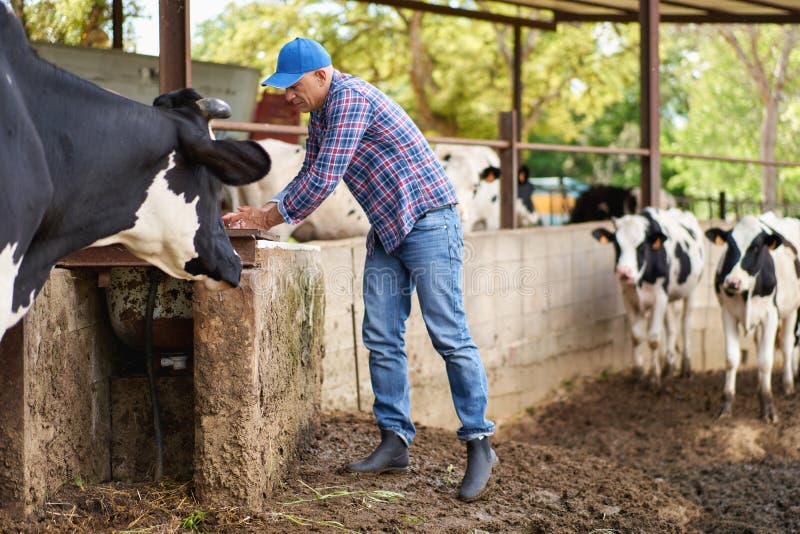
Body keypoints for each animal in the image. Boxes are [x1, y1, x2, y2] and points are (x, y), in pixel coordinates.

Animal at [592, 208, 705, 388]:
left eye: (641, 246)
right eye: (616, 244)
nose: (623, 271)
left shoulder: (659, 297)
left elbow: (653, 338)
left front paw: (653, 377)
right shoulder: (628, 298)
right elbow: (637, 336)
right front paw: (639, 374)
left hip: (691, 291)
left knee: (685, 325)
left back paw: (685, 368)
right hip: (669, 298)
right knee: (671, 328)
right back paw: (668, 367)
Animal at [705, 212, 800, 422]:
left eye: (756, 248)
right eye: (729, 245)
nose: (732, 282)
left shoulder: (771, 315)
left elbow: (766, 361)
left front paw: (768, 407)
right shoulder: (727, 314)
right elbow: (732, 358)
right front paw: (726, 405)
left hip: (792, 311)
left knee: (787, 344)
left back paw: (788, 384)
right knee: (759, 343)